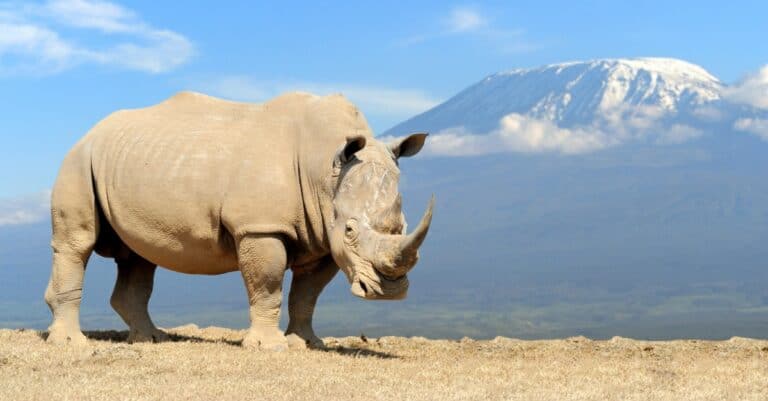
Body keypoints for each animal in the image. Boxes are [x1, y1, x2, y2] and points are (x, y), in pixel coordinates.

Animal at [44, 91, 434, 350]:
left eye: (402, 226)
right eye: (350, 231)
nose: (388, 292)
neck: (325, 168)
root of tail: (89, 132)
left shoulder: (323, 235)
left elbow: (307, 295)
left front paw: (308, 343)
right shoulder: (261, 227)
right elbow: (268, 285)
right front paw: (270, 348)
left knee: (139, 256)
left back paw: (151, 339)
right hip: (78, 160)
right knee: (77, 244)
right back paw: (70, 343)